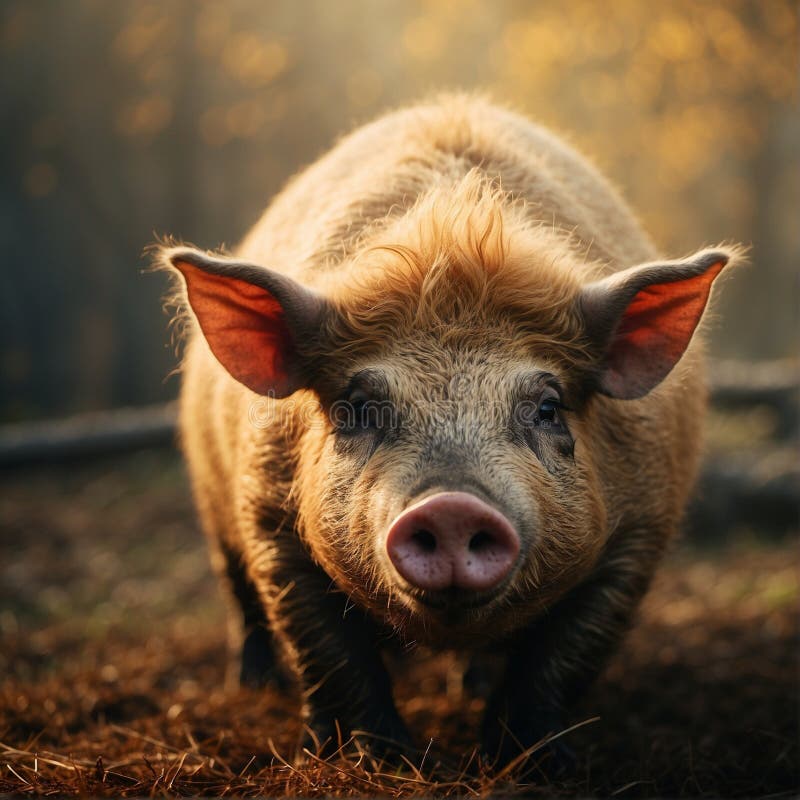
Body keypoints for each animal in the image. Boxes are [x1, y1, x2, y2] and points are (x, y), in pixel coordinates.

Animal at [158, 95, 737, 766]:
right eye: (357, 407)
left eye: (548, 407)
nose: (454, 506)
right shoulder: (269, 518)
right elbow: (329, 653)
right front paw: (371, 758)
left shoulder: (640, 533)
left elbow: (559, 662)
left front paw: (538, 760)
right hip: (211, 499)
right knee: (242, 599)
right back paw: (253, 685)